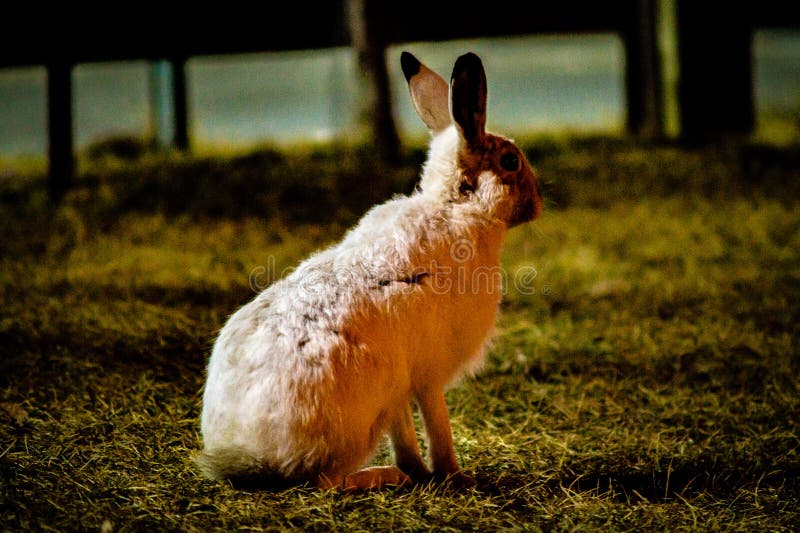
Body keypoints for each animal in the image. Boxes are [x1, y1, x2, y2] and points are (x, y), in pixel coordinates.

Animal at [197, 51, 543, 491]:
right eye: (511, 161)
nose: (538, 203)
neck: (455, 208)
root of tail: (250, 455)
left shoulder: (399, 393)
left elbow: (405, 433)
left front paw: (420, 470)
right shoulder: (428, 375)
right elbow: (438, 425)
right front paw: (454, 475)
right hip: (350, 428)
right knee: (325, 481)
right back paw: (384, 475)